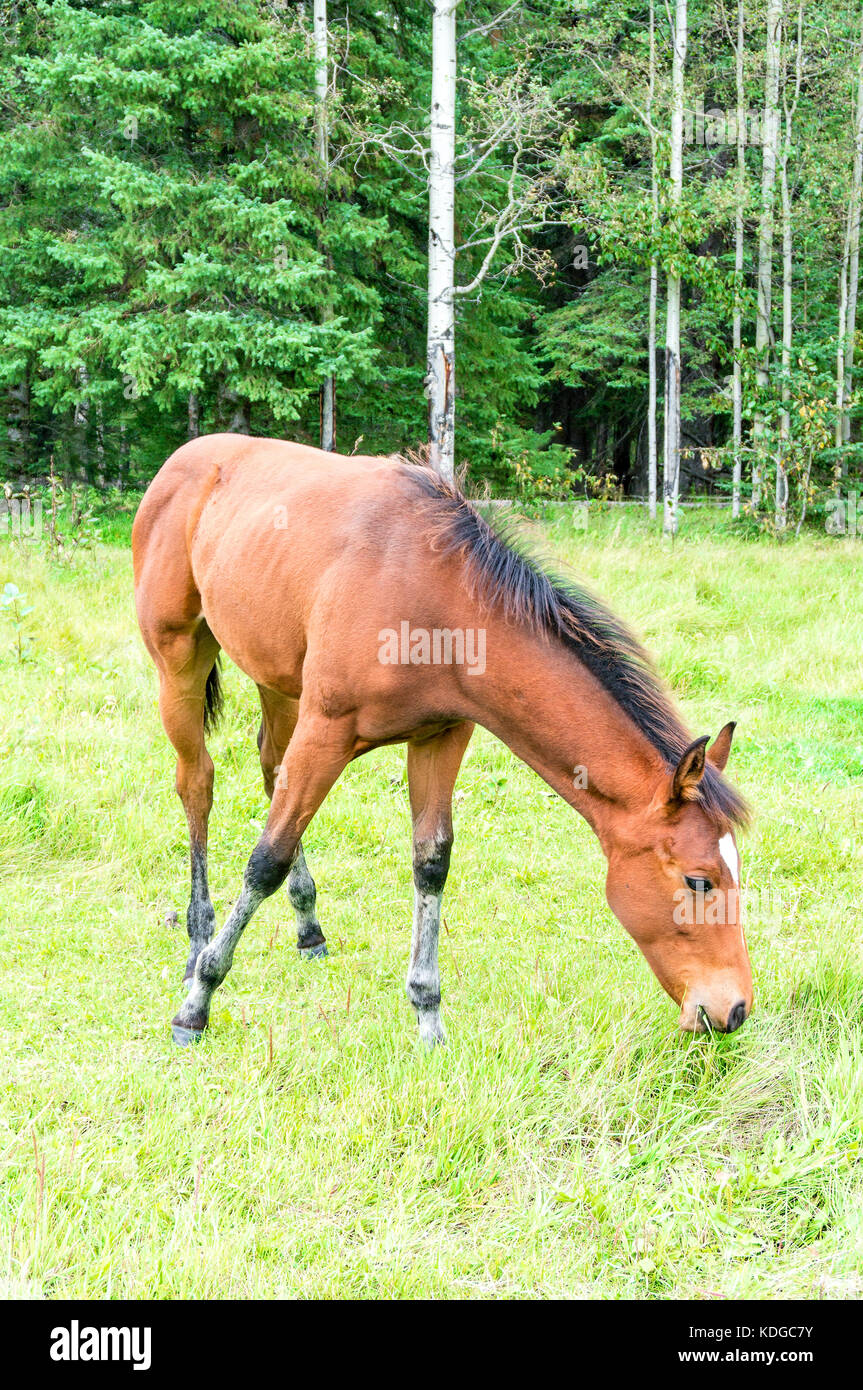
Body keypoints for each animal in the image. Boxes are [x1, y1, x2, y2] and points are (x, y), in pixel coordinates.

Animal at [132, 434, 753, 1048]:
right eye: (700, 881)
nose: (733, 1010)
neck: (432, 600)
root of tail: (183, 460)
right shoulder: (326, 730)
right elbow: (267, 859)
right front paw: (198, 1001)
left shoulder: (442, 737)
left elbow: (430, 861)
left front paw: (428, 1016)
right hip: (180, 662)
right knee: (198, 782)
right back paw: (197, 944)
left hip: (277, 679)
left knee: (269, 766)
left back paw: (308, 928)